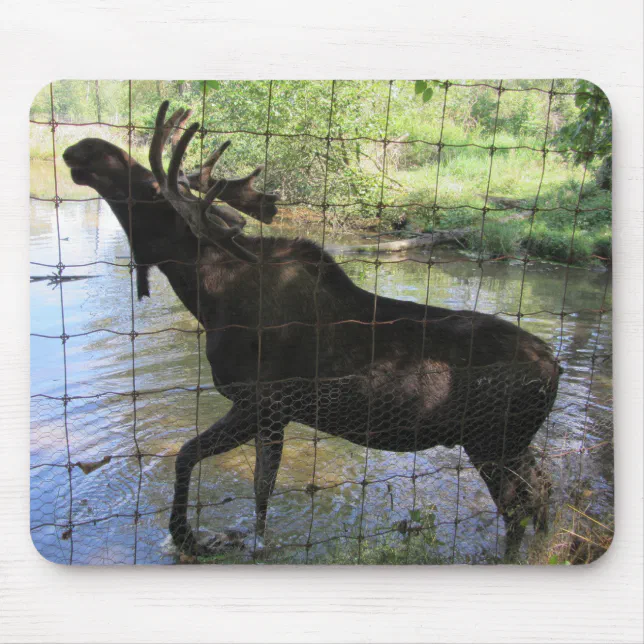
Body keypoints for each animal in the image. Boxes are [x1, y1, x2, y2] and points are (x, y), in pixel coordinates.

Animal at [62, 101, 560, 562]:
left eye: (152, 187)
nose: (82, 148)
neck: (207, 295)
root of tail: (555, 369)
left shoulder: (258, 403)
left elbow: (188, 458)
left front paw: (189, 538)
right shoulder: (275, 415)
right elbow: (260, 495)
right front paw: (245, 541)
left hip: (493, 442)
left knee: (519, 507)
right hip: (514, 444)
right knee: (543, 491)